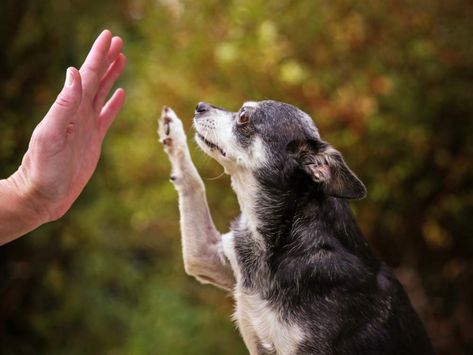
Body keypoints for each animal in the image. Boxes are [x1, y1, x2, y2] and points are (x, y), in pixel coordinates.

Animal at [157, 101, 434, 355]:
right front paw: (173, 134)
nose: (201, 106)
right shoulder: (204, 257)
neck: (284, 234)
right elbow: (194, 185)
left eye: (244, 116)